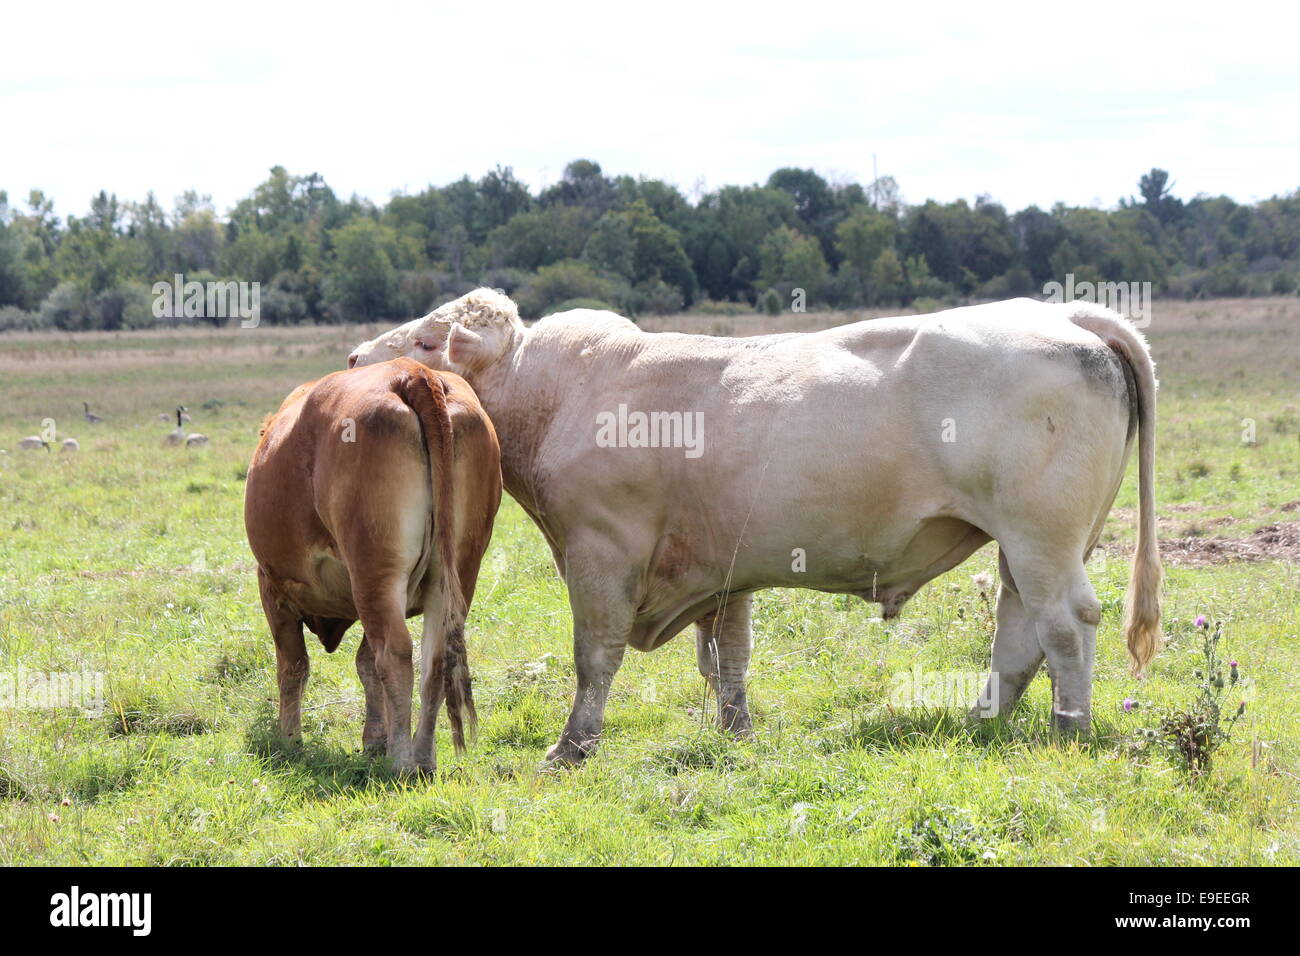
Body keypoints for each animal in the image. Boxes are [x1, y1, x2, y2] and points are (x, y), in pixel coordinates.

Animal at [244, 357, 502, 774]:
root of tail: (412, 372)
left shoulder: (273, 587)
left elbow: (294, 666)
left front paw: (289, 739)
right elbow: (364, 664)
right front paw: (373, 738)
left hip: (374, 572)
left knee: (394, 654)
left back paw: (400, 760)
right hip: (455, 572)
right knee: (433, 656)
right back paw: (422, 756)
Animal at [348, 290, 1160, 765]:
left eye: (427, 341)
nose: (355, 355)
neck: (554, 391)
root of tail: (1064, 316)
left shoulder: (599, 552)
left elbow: (595, 657)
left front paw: (572, 748)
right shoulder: (723, 565)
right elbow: (728, 661)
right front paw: (735, 735)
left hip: (1041, 538)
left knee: (1064, 627)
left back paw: (1069, 729)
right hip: (1027, 547)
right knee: (1019, 635)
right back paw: (978, 722)